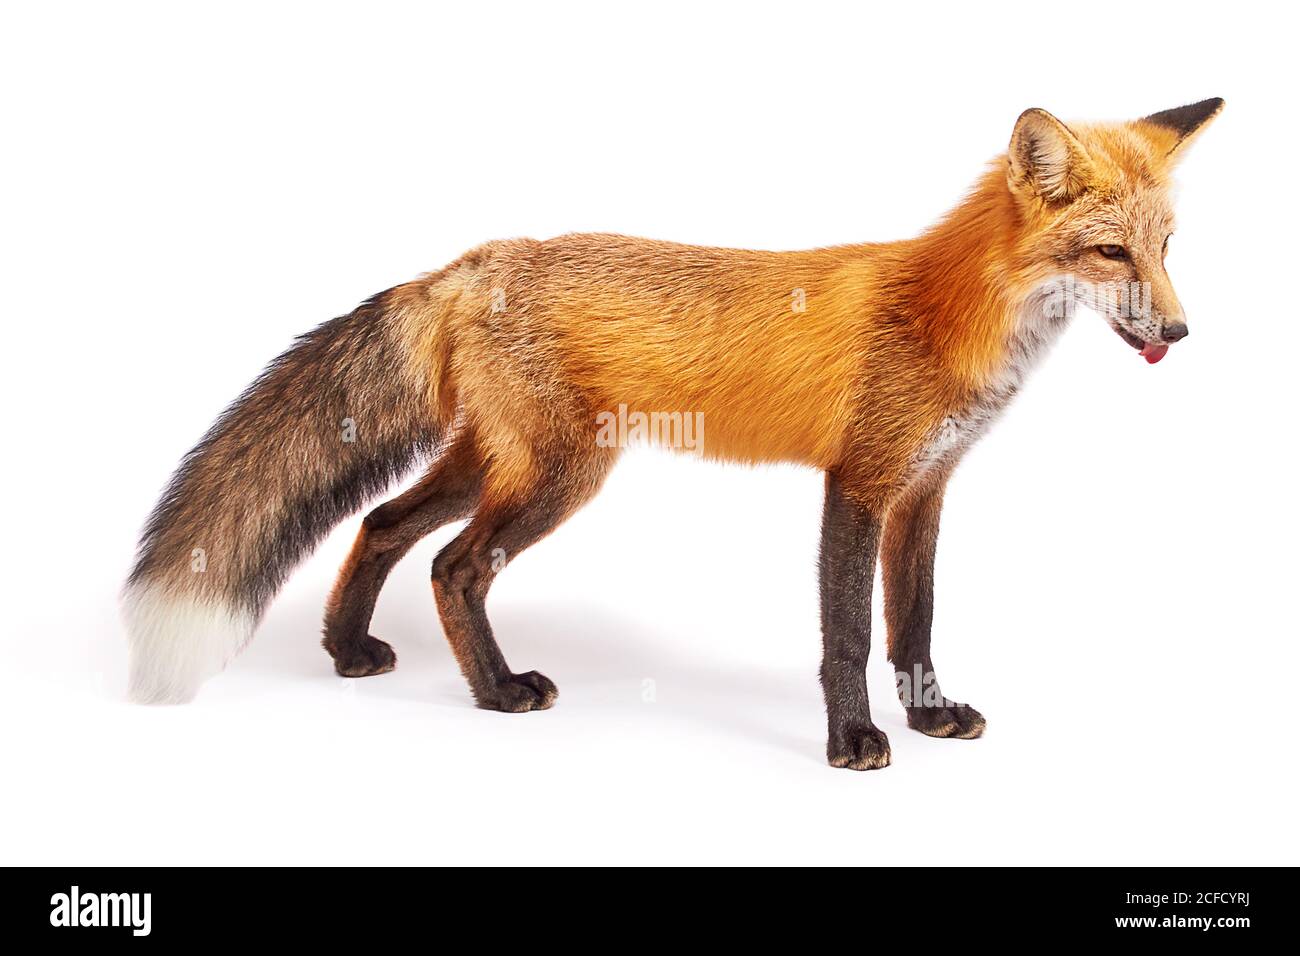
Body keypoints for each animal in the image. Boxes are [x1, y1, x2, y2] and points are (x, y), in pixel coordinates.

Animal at [125, 99, 1222, 769]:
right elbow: (848, 636)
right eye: (1110, 252)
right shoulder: (859, 483)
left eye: (1167, 248)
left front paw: (927, 717)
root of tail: (480, 259)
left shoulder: (925, 488)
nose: (1178, 332)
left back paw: (349, 650)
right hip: (558, 474)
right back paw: (497, 691)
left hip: (494, 460)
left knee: (384, 524)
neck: (944, 316)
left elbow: (914, 625)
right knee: (452, 564)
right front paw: (854, 740)